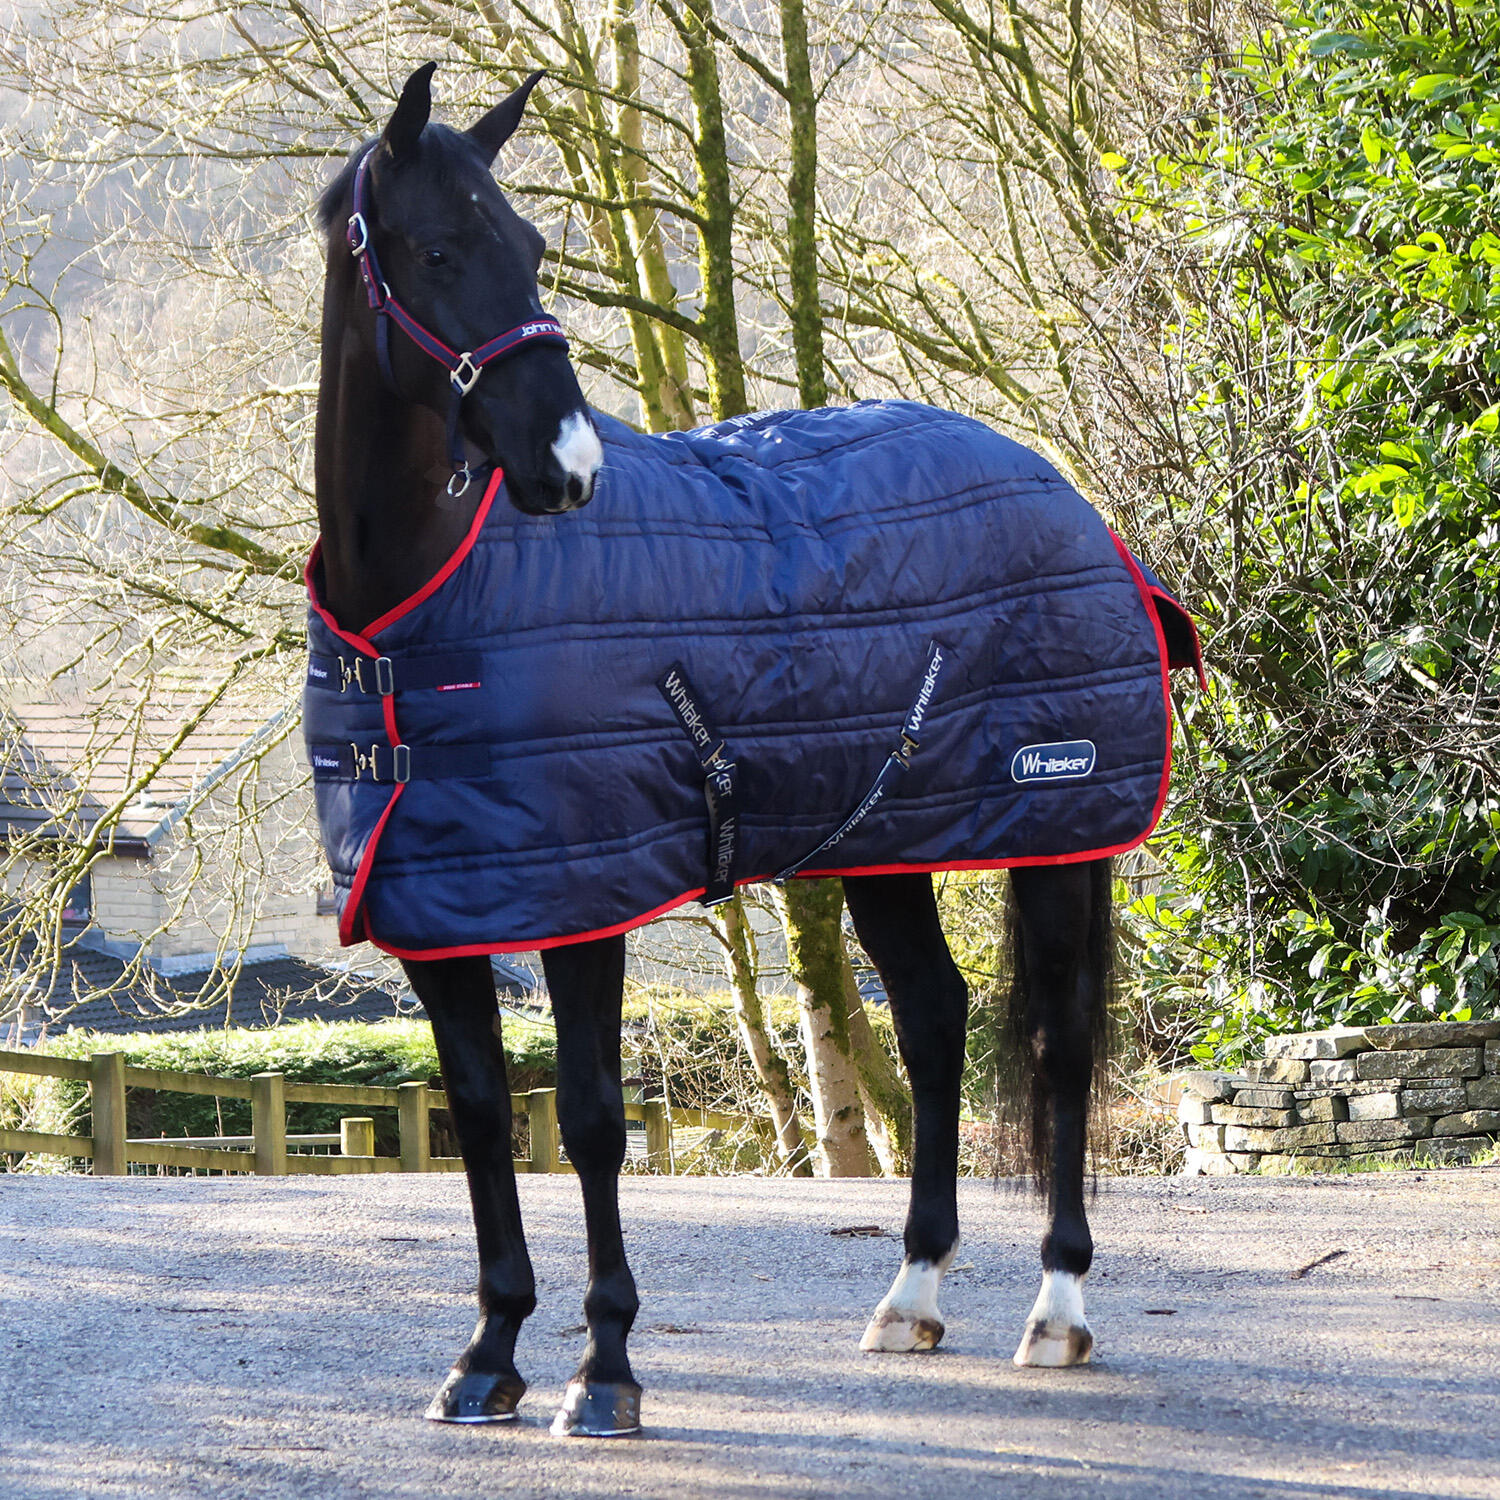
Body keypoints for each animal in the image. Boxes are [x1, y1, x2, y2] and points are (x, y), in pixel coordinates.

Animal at [307, 63, 1196, 1437]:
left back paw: (1057, 1312)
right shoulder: (440, 913)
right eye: (440, 249)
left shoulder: (586, 901)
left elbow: (592, 1122)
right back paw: (911, 1294)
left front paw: (605, 1371)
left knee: (1059, 1049)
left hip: (1060, 836)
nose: (568, 467)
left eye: (533, 246)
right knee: (933, 1021)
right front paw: (489, 1354)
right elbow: (481, 1119)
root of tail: (1074, 508)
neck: (413, 608)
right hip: (886, 848)